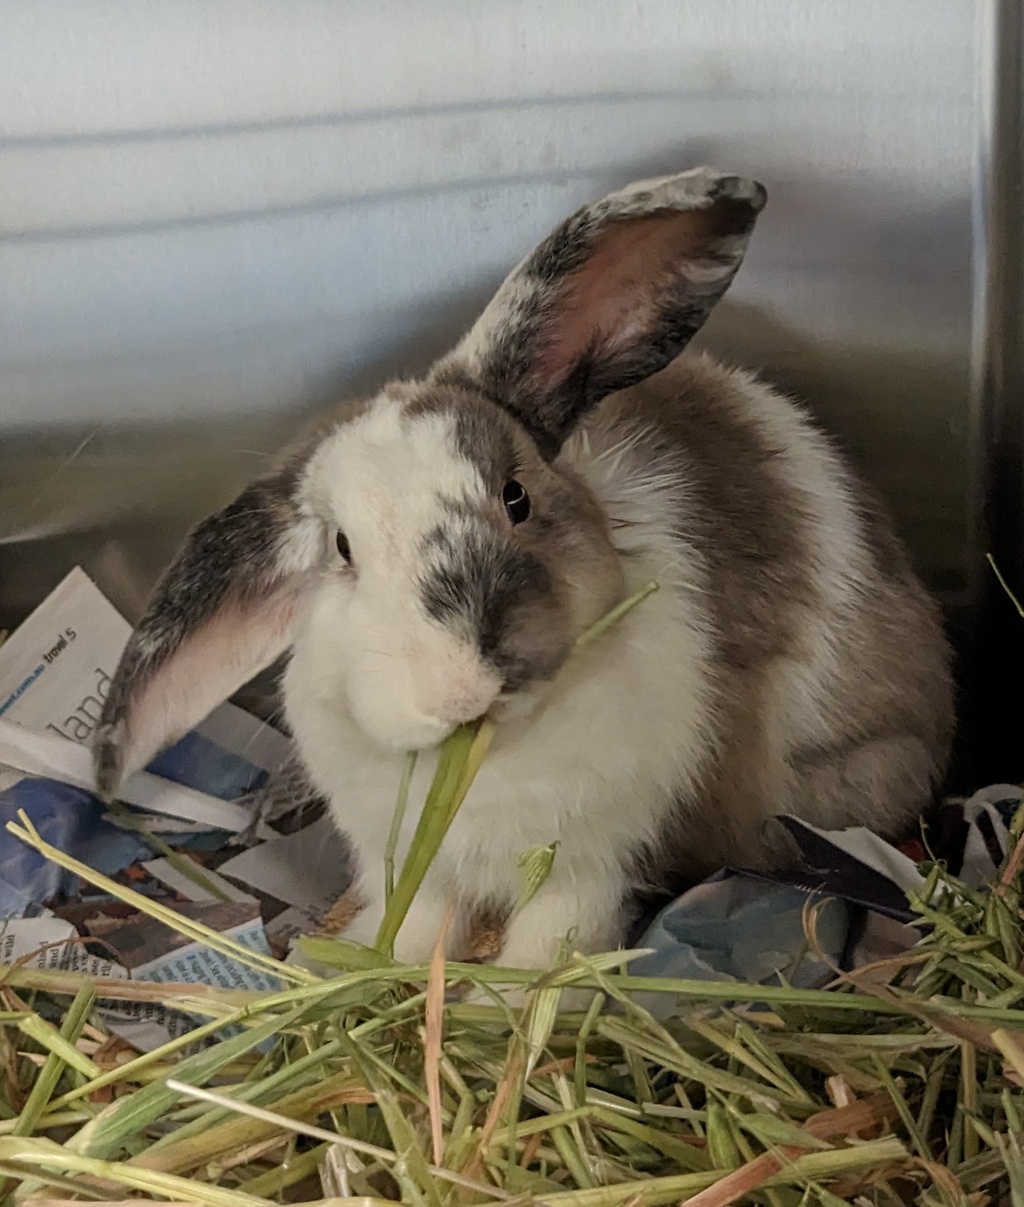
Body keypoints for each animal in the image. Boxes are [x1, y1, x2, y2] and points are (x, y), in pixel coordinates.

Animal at [95, 166, 954, 976]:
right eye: (341, 550)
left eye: (516, 497)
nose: (464, 686)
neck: (490, 758)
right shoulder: (416, 867)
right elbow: (416, 923)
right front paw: (366, 957)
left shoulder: (589, 863)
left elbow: (553, 935)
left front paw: (513, 990)